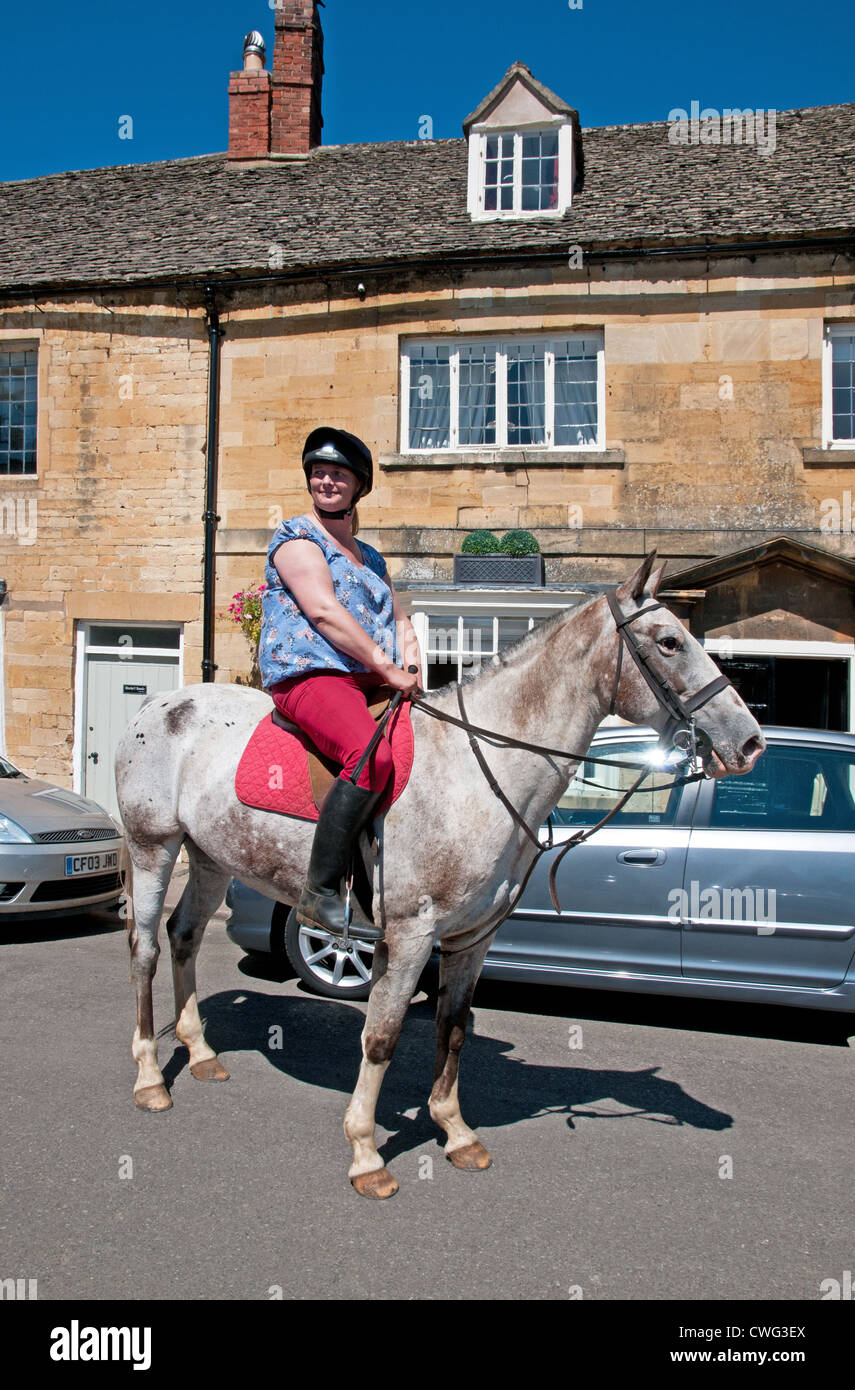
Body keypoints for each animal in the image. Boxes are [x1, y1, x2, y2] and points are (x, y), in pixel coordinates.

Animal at [115, 554, 764, 1199]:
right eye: (669, 642)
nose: (750, 742)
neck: (479, 769)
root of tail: (158, 707)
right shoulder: (409, 935)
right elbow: (381, 1037)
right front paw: (366, 1153)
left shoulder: (472, 938)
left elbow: (451, 1029)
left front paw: (455, 1133)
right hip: (154, 848)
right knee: (145, 949)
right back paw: (150, 1077)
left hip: (209, 858)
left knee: (183, 937)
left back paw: (201, 1054)